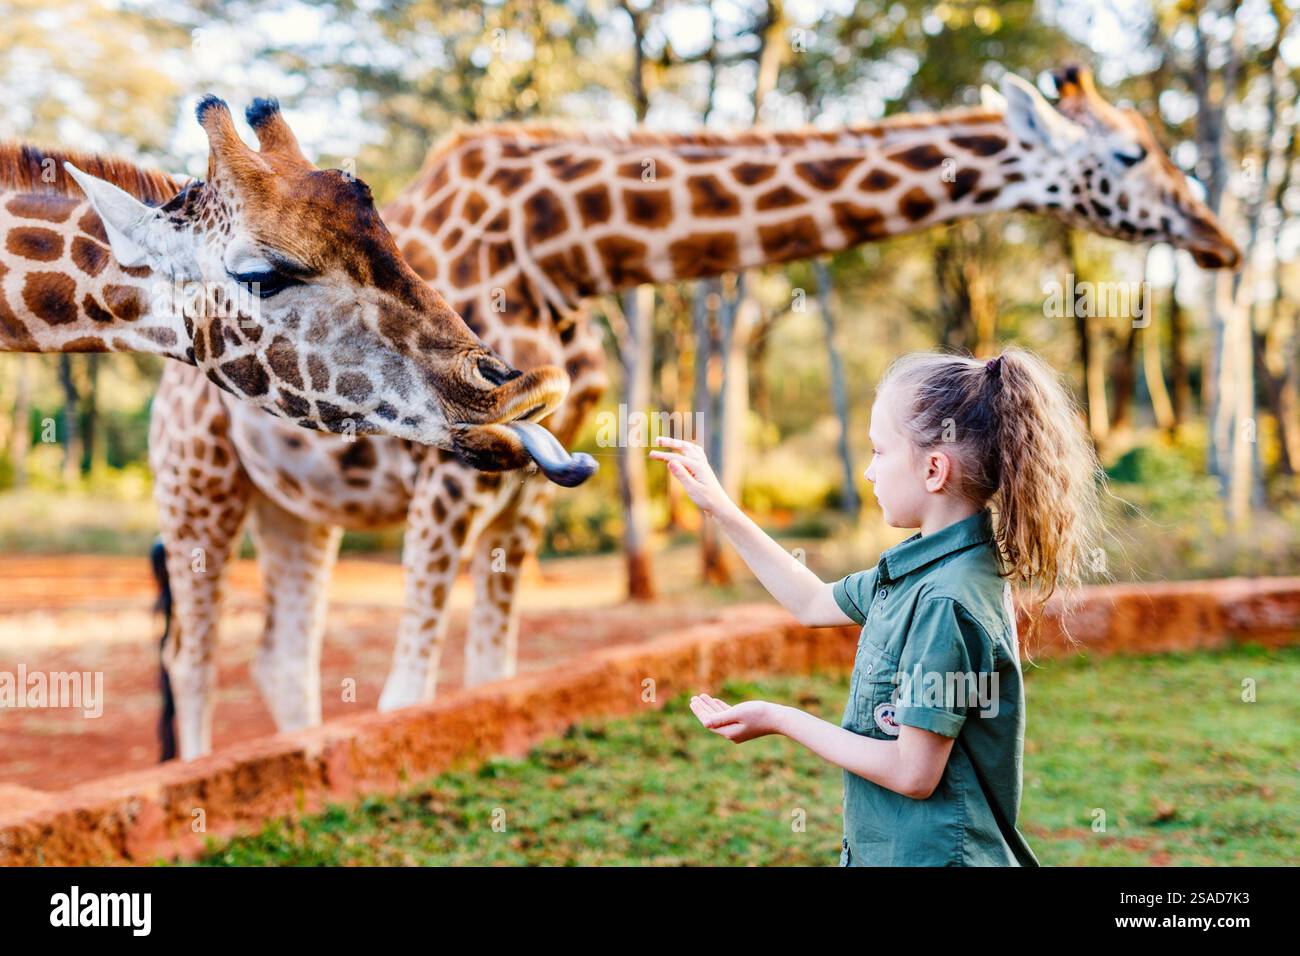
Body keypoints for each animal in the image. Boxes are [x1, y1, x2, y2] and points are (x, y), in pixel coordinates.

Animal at [151, 64, 1240, 760]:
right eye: (1130, 152)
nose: (1222, 240)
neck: (572, 245)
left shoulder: (526, 486)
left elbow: (489, 679)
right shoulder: (451, 474)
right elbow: (408, 692)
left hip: (299, 507)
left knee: (281, 657)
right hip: (196, 478)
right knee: (190, 653)